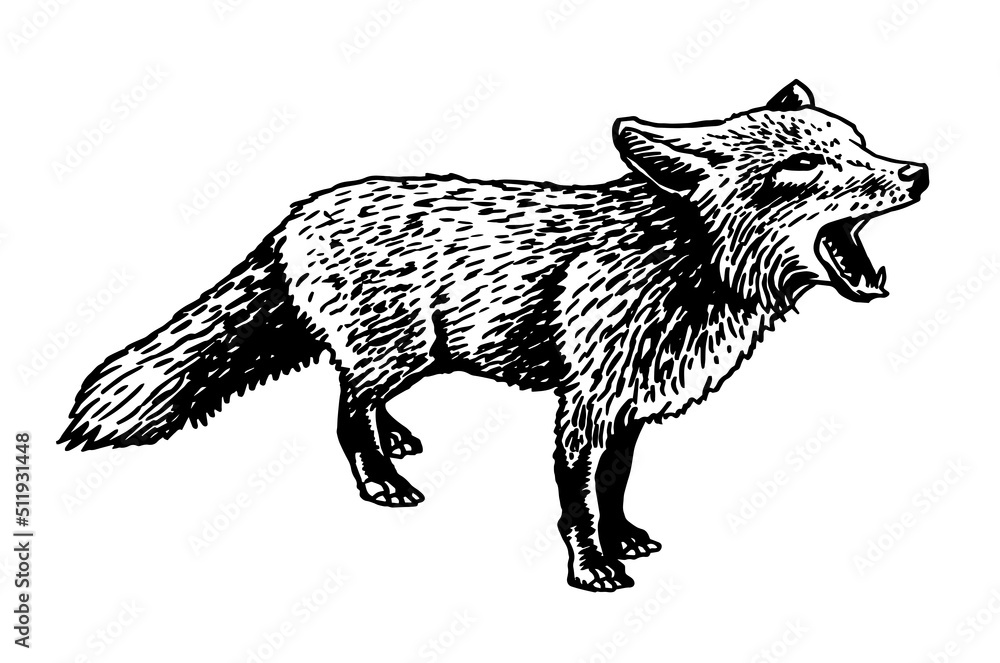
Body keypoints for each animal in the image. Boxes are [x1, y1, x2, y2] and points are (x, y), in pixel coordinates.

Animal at [58, 81, 928, 592]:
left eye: (859, 143)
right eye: (805, 168)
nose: (918, 171)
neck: (687, 263)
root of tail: (296, 213)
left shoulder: (629, 404)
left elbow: (615, 485)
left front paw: (625, 537)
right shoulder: (584, 404)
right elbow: (577, 499)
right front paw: (592, 566)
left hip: (397, 355)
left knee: (352, 395)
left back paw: (396, 441)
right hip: (400, 351)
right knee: (343, 410)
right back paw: (380, 480)